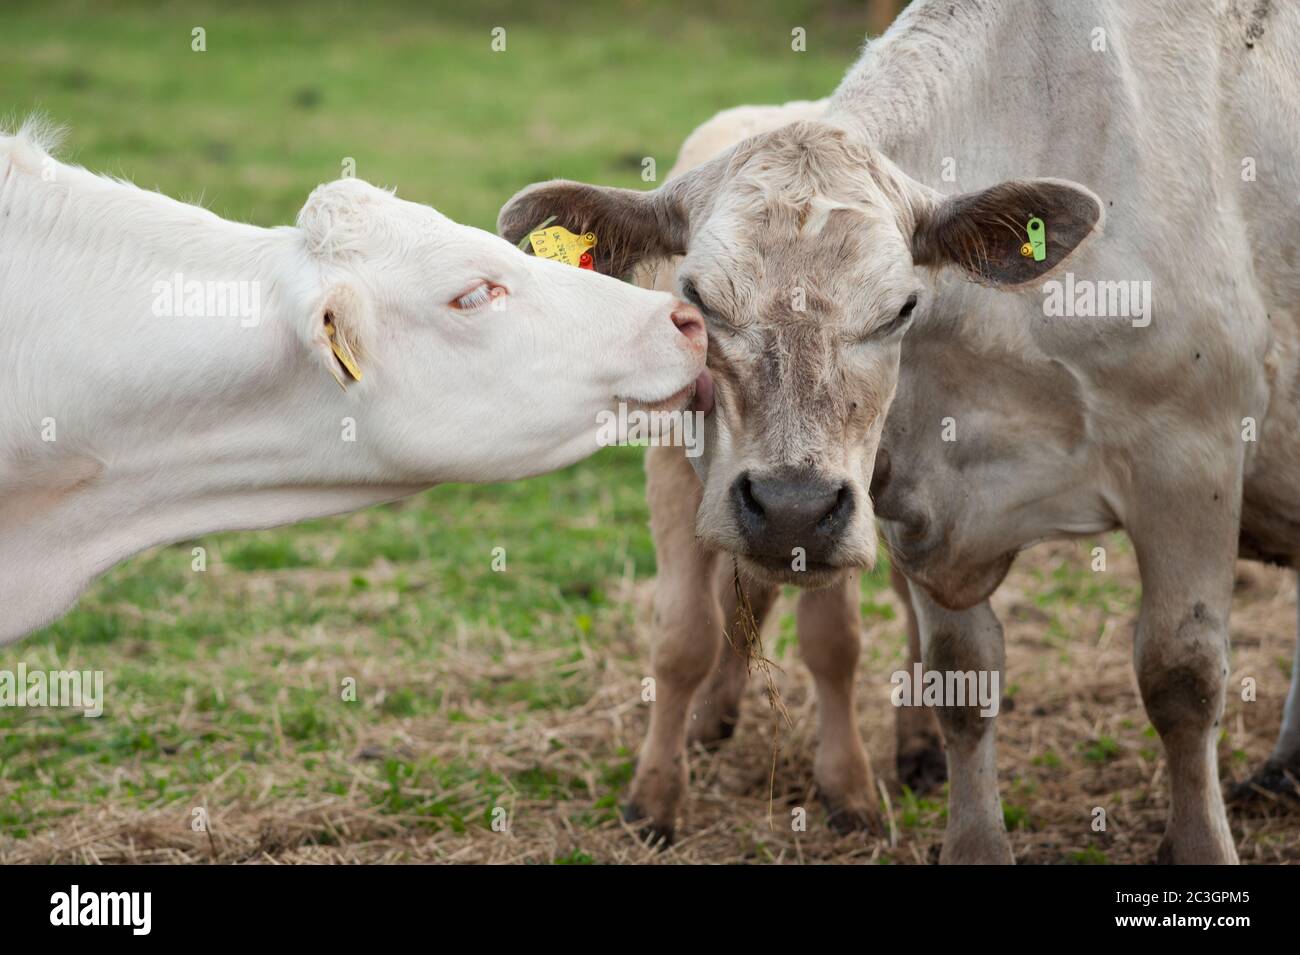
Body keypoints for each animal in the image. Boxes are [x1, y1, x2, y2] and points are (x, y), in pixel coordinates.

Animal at [499, 0, 1300, 863]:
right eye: (698, 296)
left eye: (902, 307)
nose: (790, 508)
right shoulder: (914, 498)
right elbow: (960, 677)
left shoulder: (1190, 460)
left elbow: (1181, 678)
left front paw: (1202, 845)